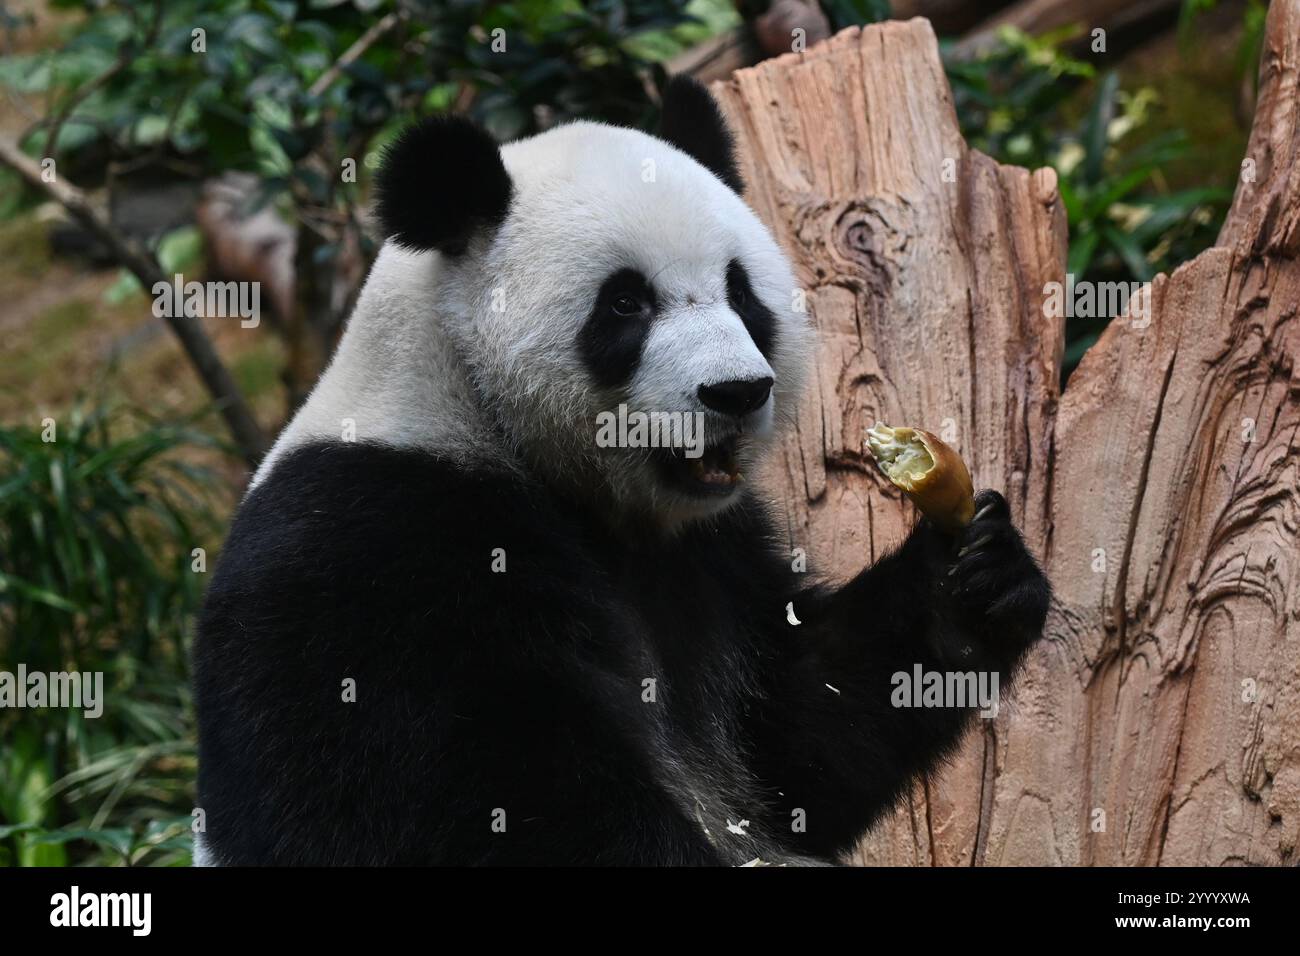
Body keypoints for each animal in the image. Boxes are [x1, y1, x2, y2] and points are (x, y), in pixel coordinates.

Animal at [192, 76, 1051, 866]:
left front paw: (975, 577)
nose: (736, 392)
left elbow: (798, 746)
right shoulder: (375, 547)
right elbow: (458, 800)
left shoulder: (710, 557)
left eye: (741, 291)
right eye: (626, 304)